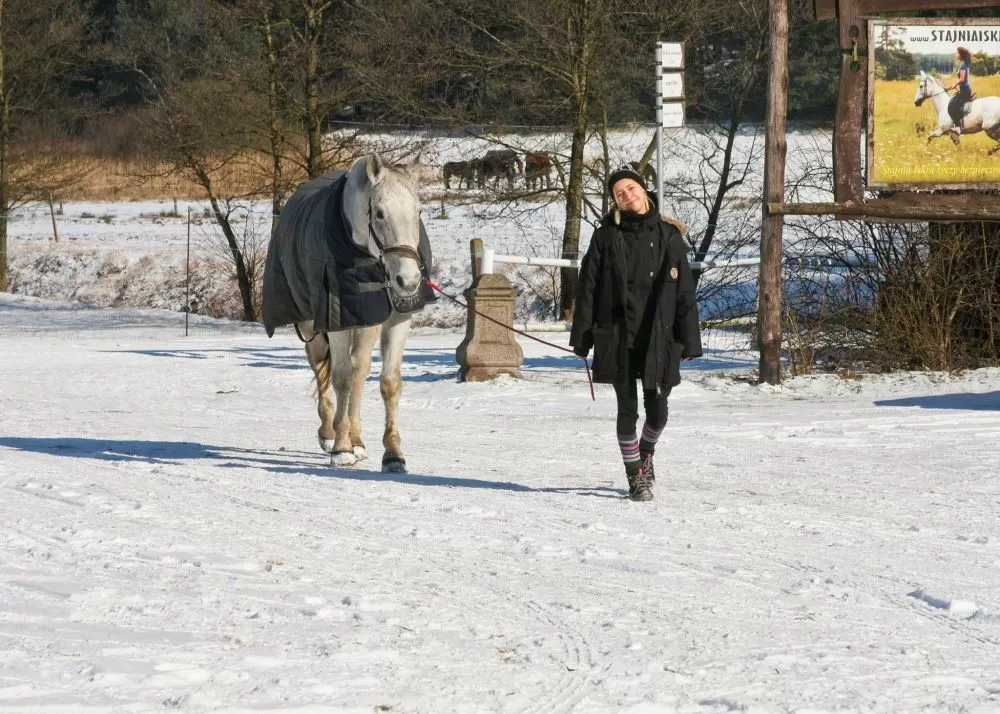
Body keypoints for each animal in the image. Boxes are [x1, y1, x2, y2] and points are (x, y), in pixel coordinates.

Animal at [260, 153, 432, 470]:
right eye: (379, 213)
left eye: (418, 211)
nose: (409, 281)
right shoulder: (336, 320)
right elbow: (340, 378)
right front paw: (341, 447)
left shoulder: (396, 319)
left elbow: (388, 382)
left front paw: (392, 453)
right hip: (312, 327)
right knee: (322, 369)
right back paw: (330, 433)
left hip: (365, 324)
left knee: (359, 371)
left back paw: (357, 439)